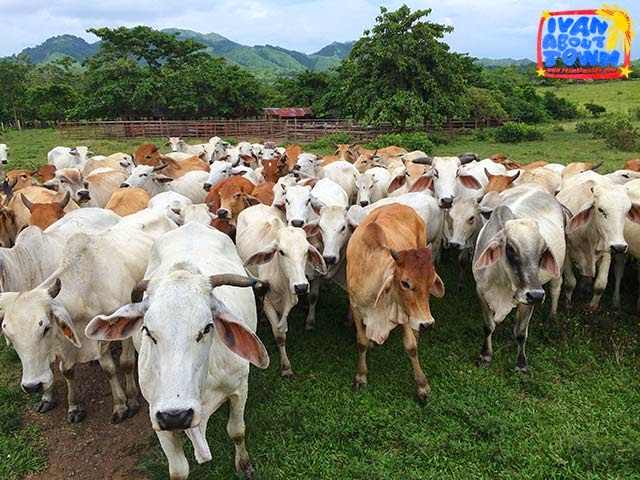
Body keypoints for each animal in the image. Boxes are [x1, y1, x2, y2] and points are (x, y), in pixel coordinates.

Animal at [85, 223, 268, 479]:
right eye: (147, 330)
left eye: (207, 328)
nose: (176, 416)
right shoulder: (157, 415)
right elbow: (178, 469)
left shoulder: (240, 389)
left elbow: (237, 430)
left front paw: (244, 465)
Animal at [236, 204, 326, 377]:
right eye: (282, 252)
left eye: (306, 251)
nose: (301, 286)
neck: (281, 284)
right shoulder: (268, 302)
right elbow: (279, 335)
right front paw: (285, 367)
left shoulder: (290, 301)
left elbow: (282, 329)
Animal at [347, 204, 444, 403]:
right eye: (405, 283)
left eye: (431, 282)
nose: (428, 324)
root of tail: (400, 205)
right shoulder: (355, 306)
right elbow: (361, 341)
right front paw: (361, 376)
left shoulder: (404, 311)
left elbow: (411, 346)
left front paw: (422, 387)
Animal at [473, 188, 565, 374]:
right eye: (510, 249)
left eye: (543, 251)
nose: (536, 295)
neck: (502, 281)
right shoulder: (481, 292)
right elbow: (488, 326)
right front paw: (485, 356)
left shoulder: (526, 302)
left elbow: (521, 333)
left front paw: (521, 364)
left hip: (558, 272)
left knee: (556, 289)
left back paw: (552, 317)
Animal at [556, 171, 640, 309]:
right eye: (600, 209)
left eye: (627, 211)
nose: (619, 247)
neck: (587, 234)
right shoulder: (566, 252)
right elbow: (570, 283)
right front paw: (567, 304)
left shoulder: (607, 251)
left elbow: (600, 284)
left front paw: (592, 307)